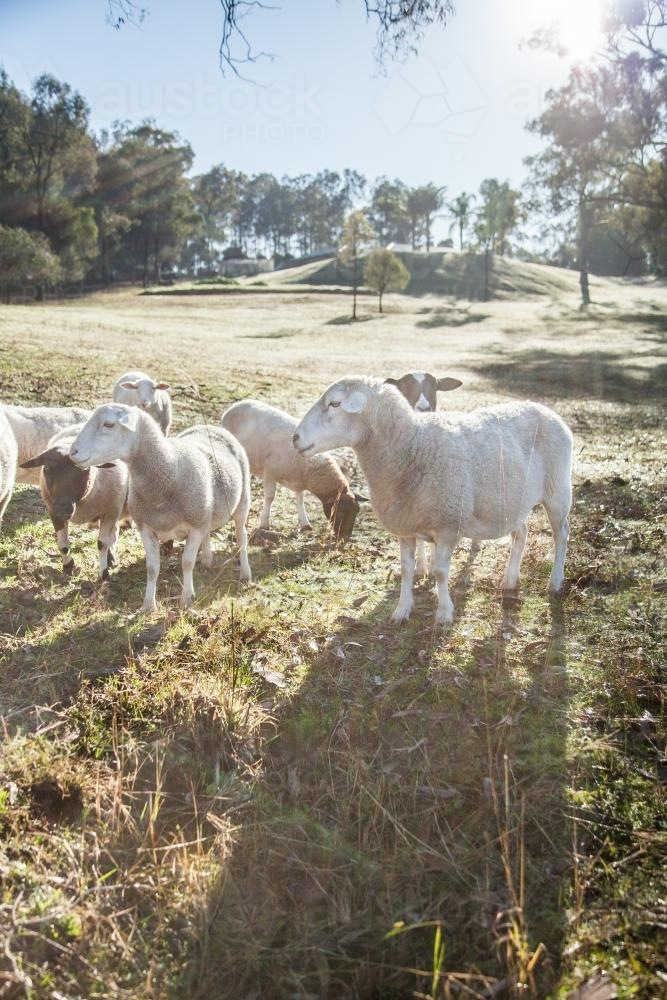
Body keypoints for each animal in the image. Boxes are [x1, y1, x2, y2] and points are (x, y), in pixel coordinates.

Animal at [20, 425, 129, 580]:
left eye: (85, 469)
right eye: (46, 468)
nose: (62, 509)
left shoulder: (109, 512)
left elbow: (102, 544)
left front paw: (103, 574)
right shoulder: (53, 513)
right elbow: (63, 545)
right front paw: (68, 566)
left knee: (112, 534)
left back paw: (110, 557)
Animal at [69, 404, 251, 612]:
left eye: (108, 424)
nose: (72, 452)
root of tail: (212, 427)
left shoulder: (195, 526)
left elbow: (187, 562)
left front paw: (187, 599)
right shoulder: (146, 528)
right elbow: (152, 568)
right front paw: (148, 605)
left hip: (242, 502)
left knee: (242, 538)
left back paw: (245, 573)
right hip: (205, 511)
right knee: (209, 533)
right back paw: (207, 560)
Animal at [221, 398, 366, 541]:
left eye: (356, 511)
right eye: (340, 511)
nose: (344, 538)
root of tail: (234, 406)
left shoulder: (298, 479)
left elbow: (300, 499)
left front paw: (305, 523)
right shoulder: (270, 472)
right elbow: (270, 497)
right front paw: (264, 524)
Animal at [293, 376, 572, 626]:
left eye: (335, 403)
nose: (295, 438)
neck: (412, 445)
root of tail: (545, 409)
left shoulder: (448, 523)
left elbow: (440, 571)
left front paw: (444, 614)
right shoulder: (405, 526)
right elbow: (406, 569)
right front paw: (401, 611)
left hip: (558, 491)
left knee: (561, 534)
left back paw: (555, 582)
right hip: (511, 502)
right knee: (521, 533)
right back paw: (510, 580)